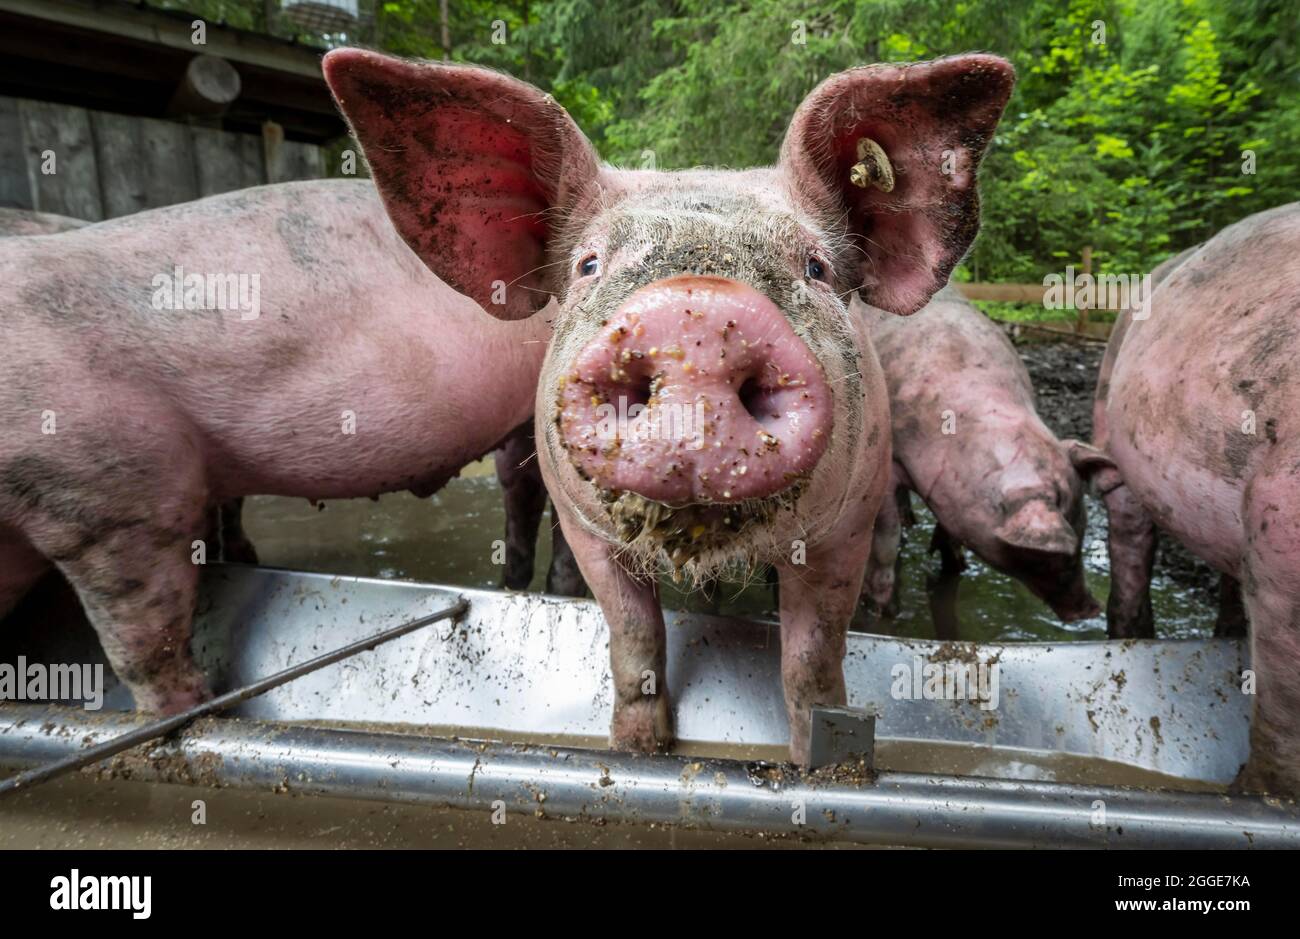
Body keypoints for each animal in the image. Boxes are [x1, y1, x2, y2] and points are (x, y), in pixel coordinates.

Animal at [325, 49, 1015, 763]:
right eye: (588, 265)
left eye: (816, 267)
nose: (698, 313)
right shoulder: (586, 528)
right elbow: (633, 634)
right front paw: (635, 748)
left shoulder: (847, 525)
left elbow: (813, 656)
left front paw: (811, 758)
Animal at [859, 287, 1113, 635]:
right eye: (1056, 557)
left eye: (1084, 531)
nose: (1090, 609)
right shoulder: (888, 461)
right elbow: (886, 535)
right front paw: (883, 610)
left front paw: (958, 566)